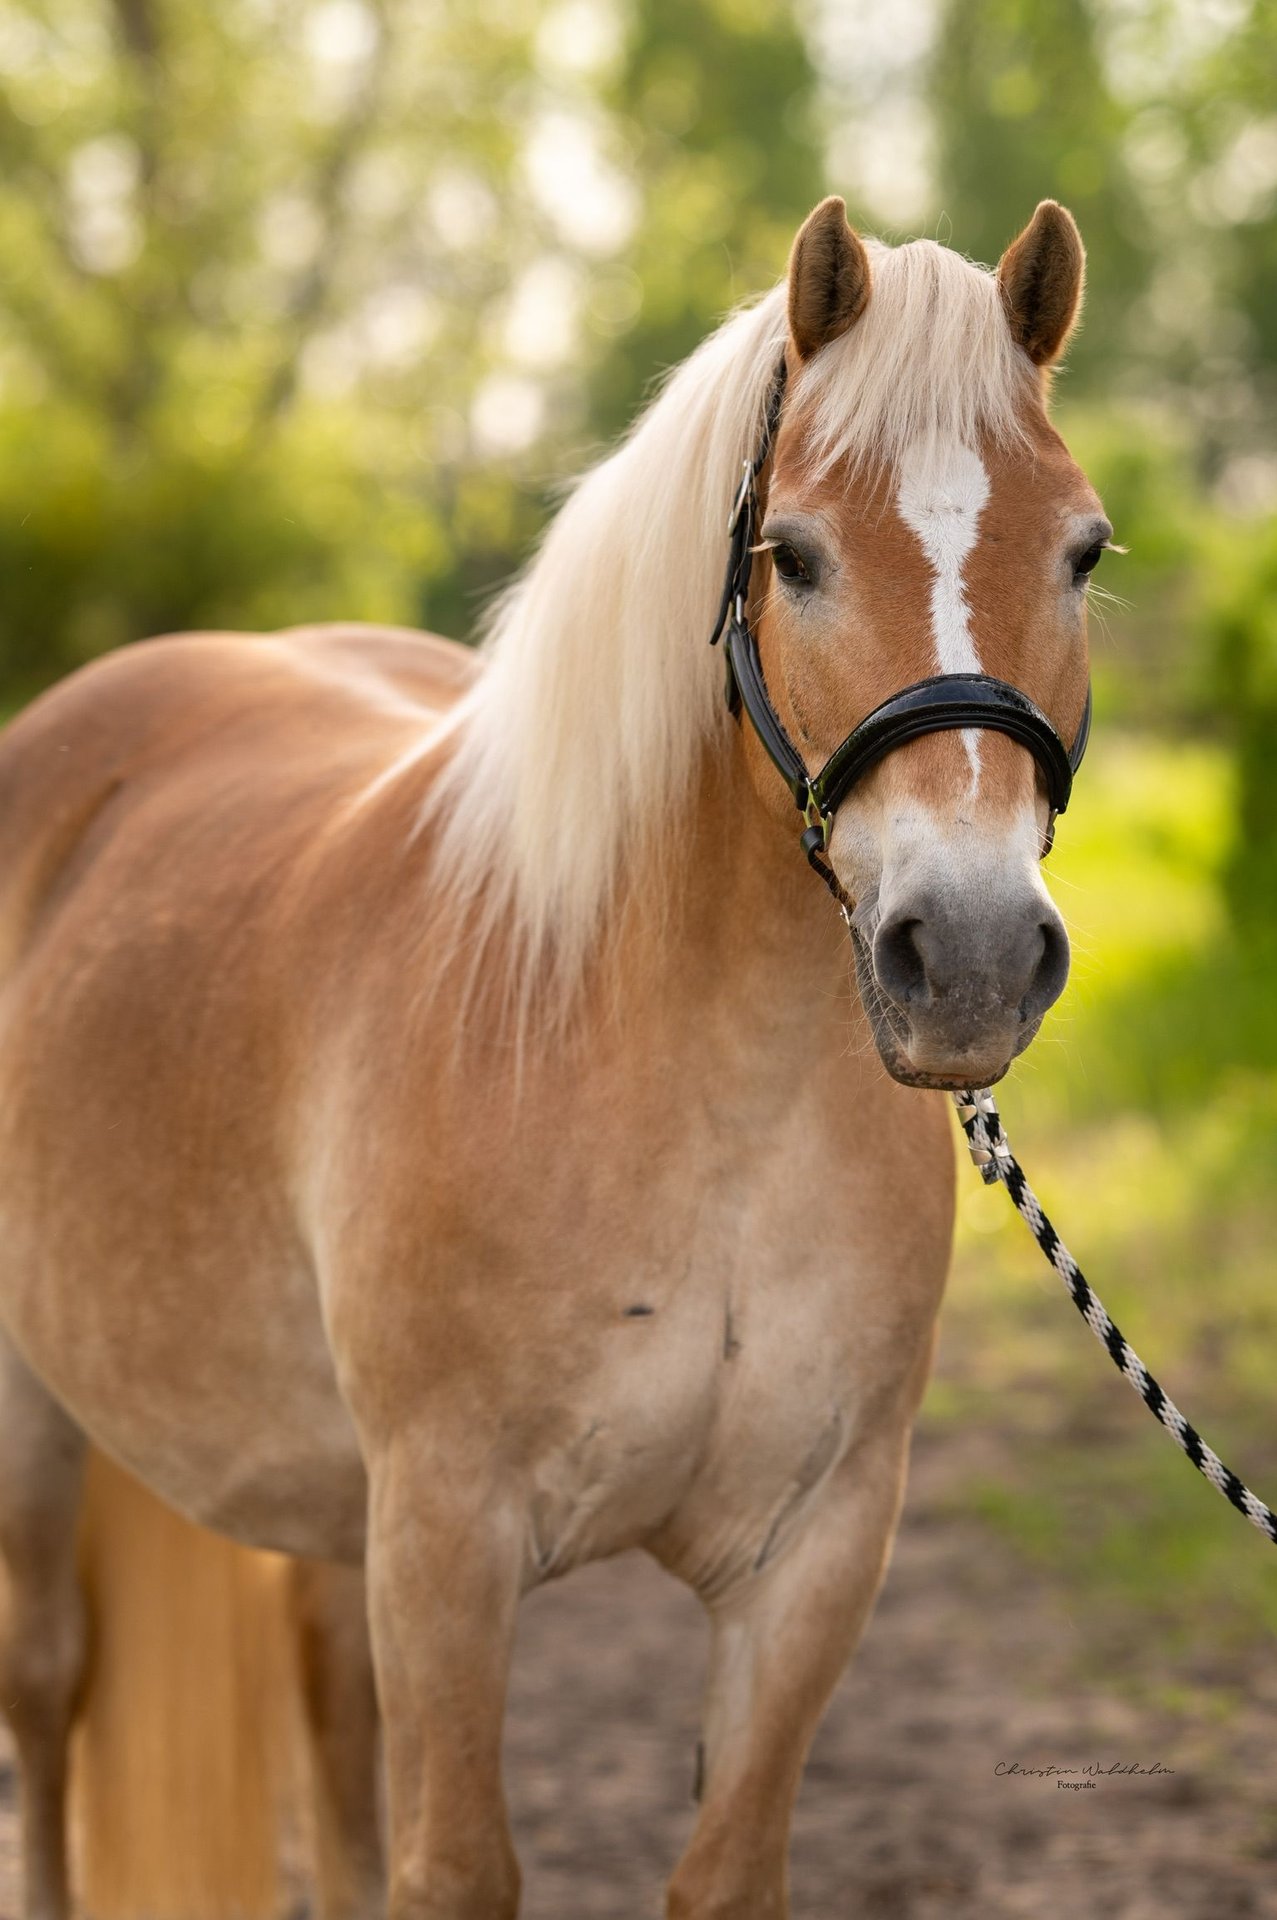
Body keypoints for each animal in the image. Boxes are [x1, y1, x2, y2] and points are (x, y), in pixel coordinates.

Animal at [0, 192, 1109, 1919]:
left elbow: (718, 1872)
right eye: (794, 557)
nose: (975, 956)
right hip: (40, 1426)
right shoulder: (448, 1545)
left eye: (1082, 549)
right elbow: (456, 1867)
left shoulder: (814, 1555)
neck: (692, 1091)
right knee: (49, 1690)